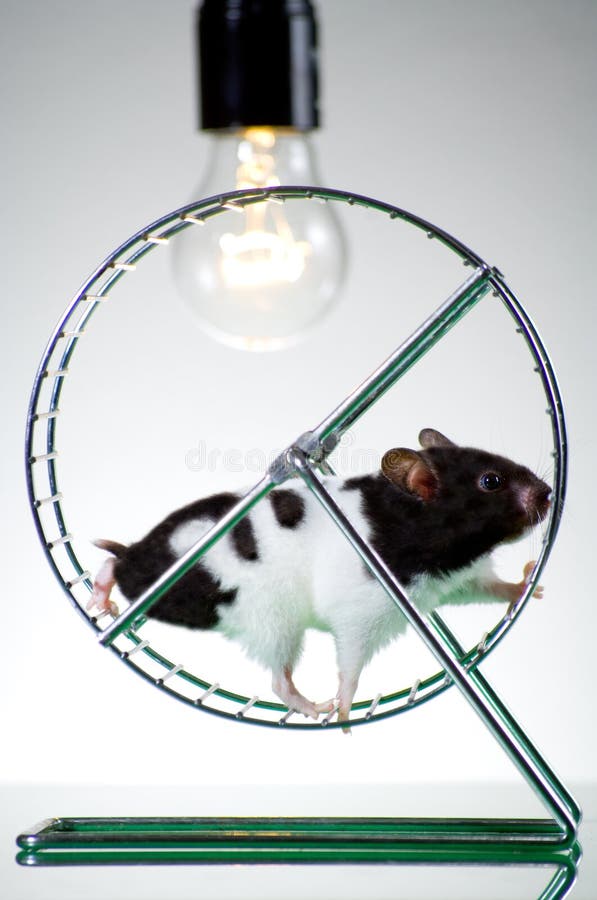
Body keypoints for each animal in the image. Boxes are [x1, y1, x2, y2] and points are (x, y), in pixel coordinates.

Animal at [88, 428, 551, 724]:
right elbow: (350, 662)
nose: (548, 494)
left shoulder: (455, 580)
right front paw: (345, 713)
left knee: (120, 564)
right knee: (278, 681)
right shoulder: (361, 613)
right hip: (265, 620)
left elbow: (493, 587)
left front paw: (532, 583)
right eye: (491, 481)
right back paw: (319, 710)